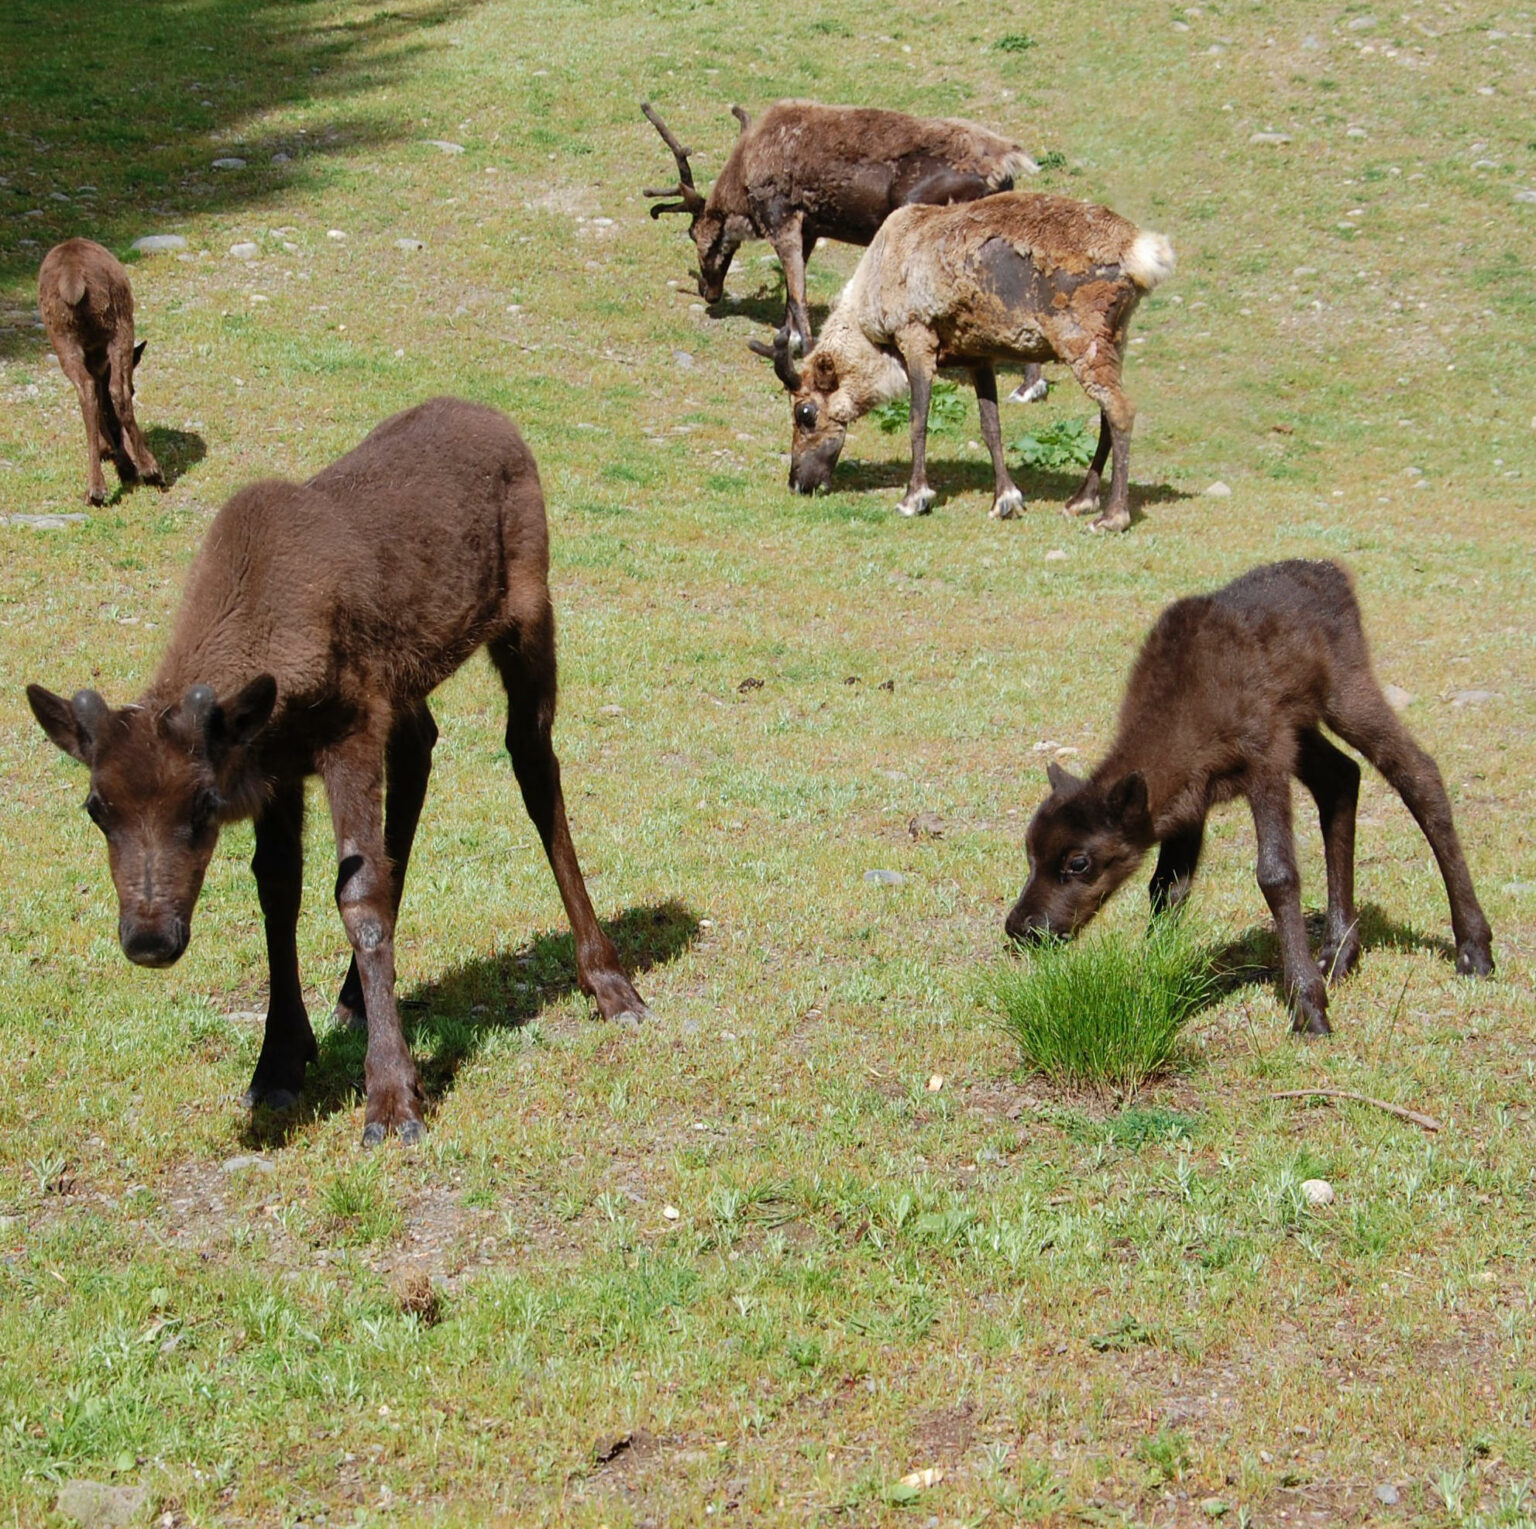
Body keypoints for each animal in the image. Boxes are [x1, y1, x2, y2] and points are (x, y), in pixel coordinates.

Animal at [27, 397, 651, 1145]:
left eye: (203, 803)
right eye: (96, 807)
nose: (150, 939)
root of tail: (499, 420)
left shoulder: (348, 727)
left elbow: (358, 895)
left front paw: (393, 1098)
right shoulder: (279, 766)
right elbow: (278, 890)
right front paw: (278, 1063)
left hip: (528, 611)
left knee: (533, 762)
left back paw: (609, 981)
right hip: (408, 682)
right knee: (420, 752)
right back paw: (354, 997)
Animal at [37, 238, 164, 506]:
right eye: (137, 390)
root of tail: (74, 282)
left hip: (82, 332)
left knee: (99, 390)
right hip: (105, 330)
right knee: (105, 390)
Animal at [640, 98, 1046, 399]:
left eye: (696, 235)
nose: (707, 291)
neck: (743, 184)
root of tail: (1008, 163)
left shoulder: (782, 218)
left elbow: (798, 296)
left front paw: (805, 353)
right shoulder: (809, 228)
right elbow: (791, 298)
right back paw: (1030, 382)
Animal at [760, 191, 1173, 532]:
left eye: (805, 413)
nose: (797, 483)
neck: (871, 323)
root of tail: (1143, 252)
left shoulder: (917, 338)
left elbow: (918, 422)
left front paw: (915, 497)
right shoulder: (979, 355)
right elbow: (991, 427)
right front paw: (1006, 498)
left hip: (1082, 337)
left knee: (1120, 409)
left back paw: (1112, 515)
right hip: (1114, 338)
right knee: (1107, 415)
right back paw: (1081, 499)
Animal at [1004, 560, 1495, 1034]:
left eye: (1079, 862)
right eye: (1030, 852)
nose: (1022, 928)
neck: (1186, 707)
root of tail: (1334, 573)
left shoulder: (1265, 760)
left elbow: (1276, 874)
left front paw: (1309, 1009)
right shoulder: (1189, 805)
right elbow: (1167, 886)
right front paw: (1152, 984)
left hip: (1346, 694)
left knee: (1418, 773)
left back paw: (1473, 949)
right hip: (1302, 727)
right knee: (1342, 778)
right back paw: (1338, 952)